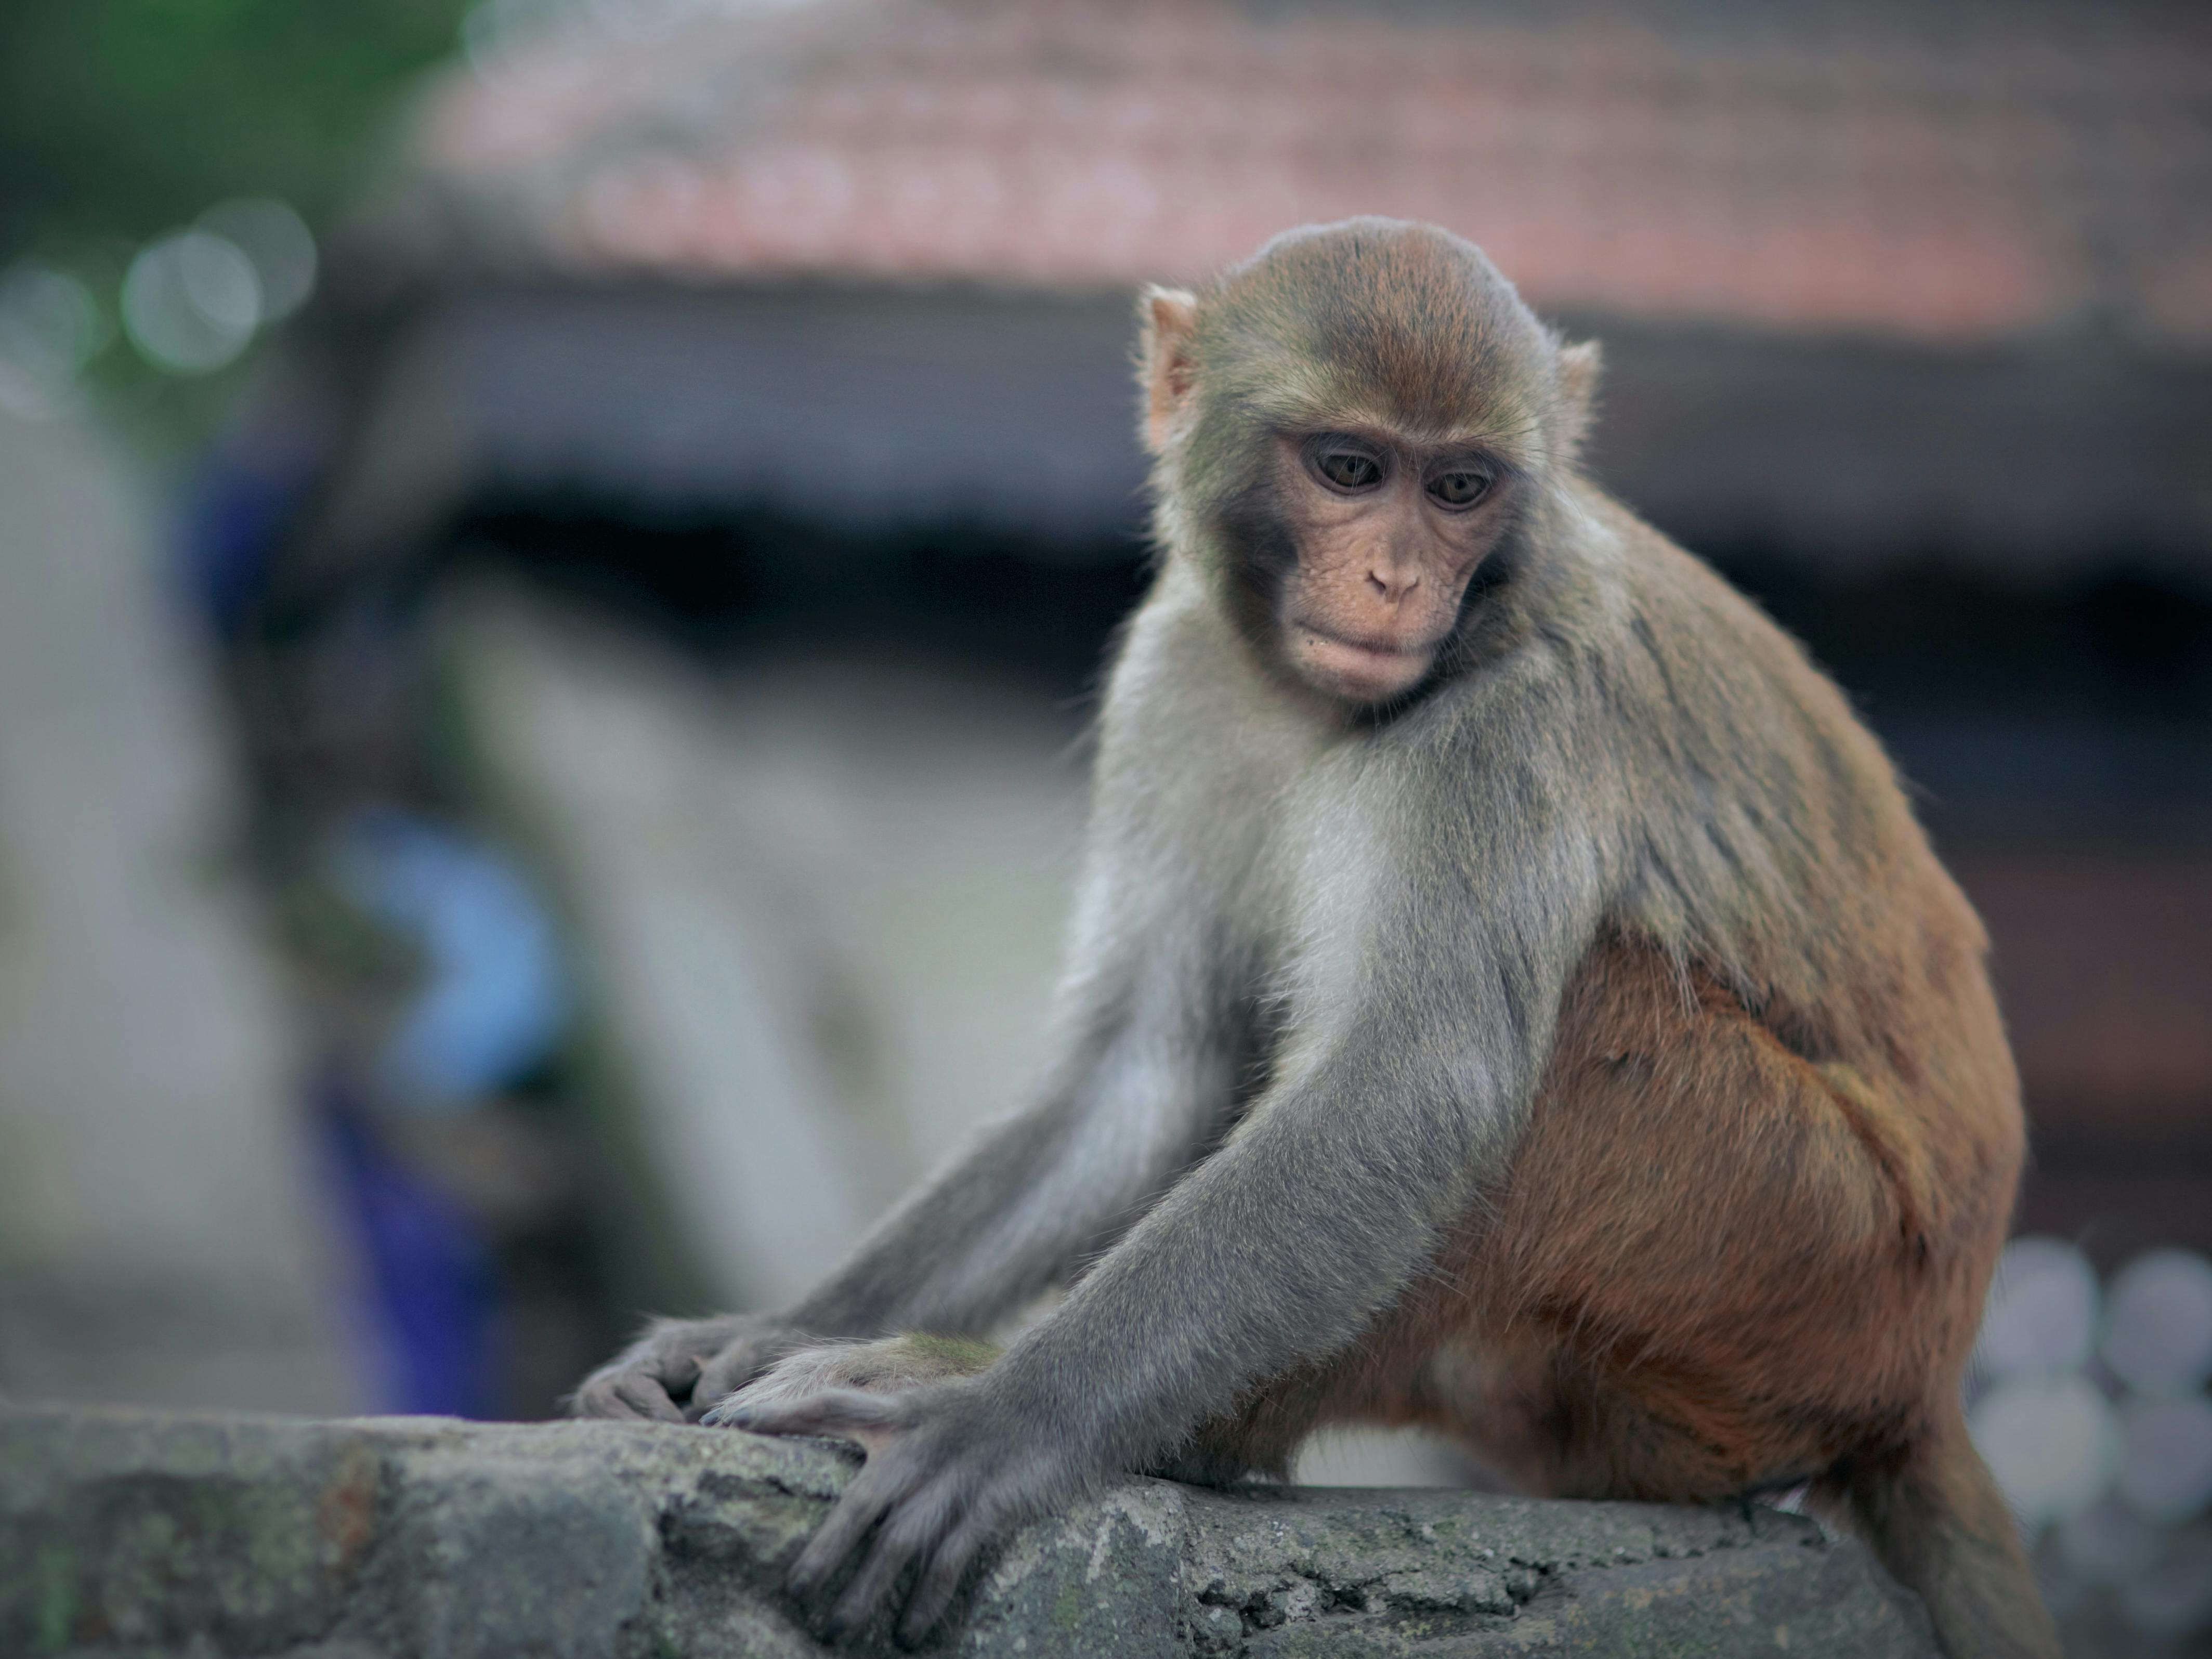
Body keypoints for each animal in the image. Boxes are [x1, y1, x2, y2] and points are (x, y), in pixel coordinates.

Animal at [573, 218, 2054, 1659]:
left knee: (1577, 1037)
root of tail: (1929, 1375)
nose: (1395, 576)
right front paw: (755, 1328)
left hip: (1818, 1264)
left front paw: (994, 1417)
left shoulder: (1513, 722)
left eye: (1457, 489)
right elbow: (1144, 1072)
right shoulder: (1171, 673)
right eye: (1350, 469)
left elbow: (1408, 1089)